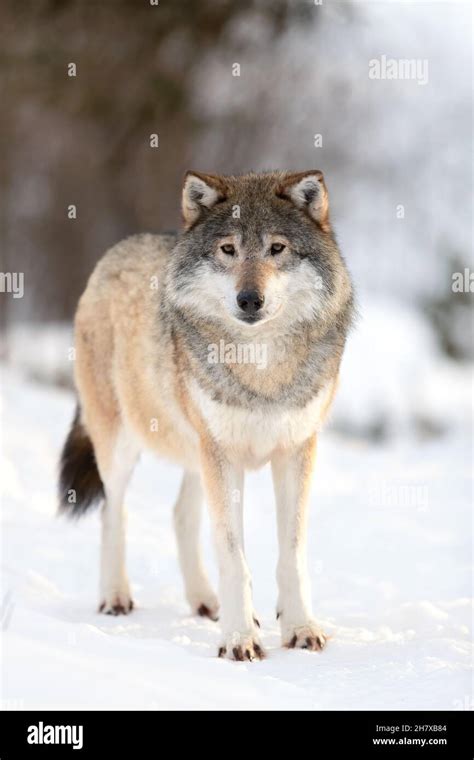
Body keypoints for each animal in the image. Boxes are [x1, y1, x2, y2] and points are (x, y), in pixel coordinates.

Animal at [59, 170, 354, 661]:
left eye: (277, 248)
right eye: (228, 249)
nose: (249, 299)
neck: (260, 367)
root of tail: (117, 249)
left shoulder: (296, 450)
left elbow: (291, 553)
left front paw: (298, 628)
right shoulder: (223, 455)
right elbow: (233, 556)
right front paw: (240, 639)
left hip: (195, 453)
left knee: (180, 515)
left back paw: (205, 602)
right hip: (123, 445)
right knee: (114, 512)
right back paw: (116, 596)